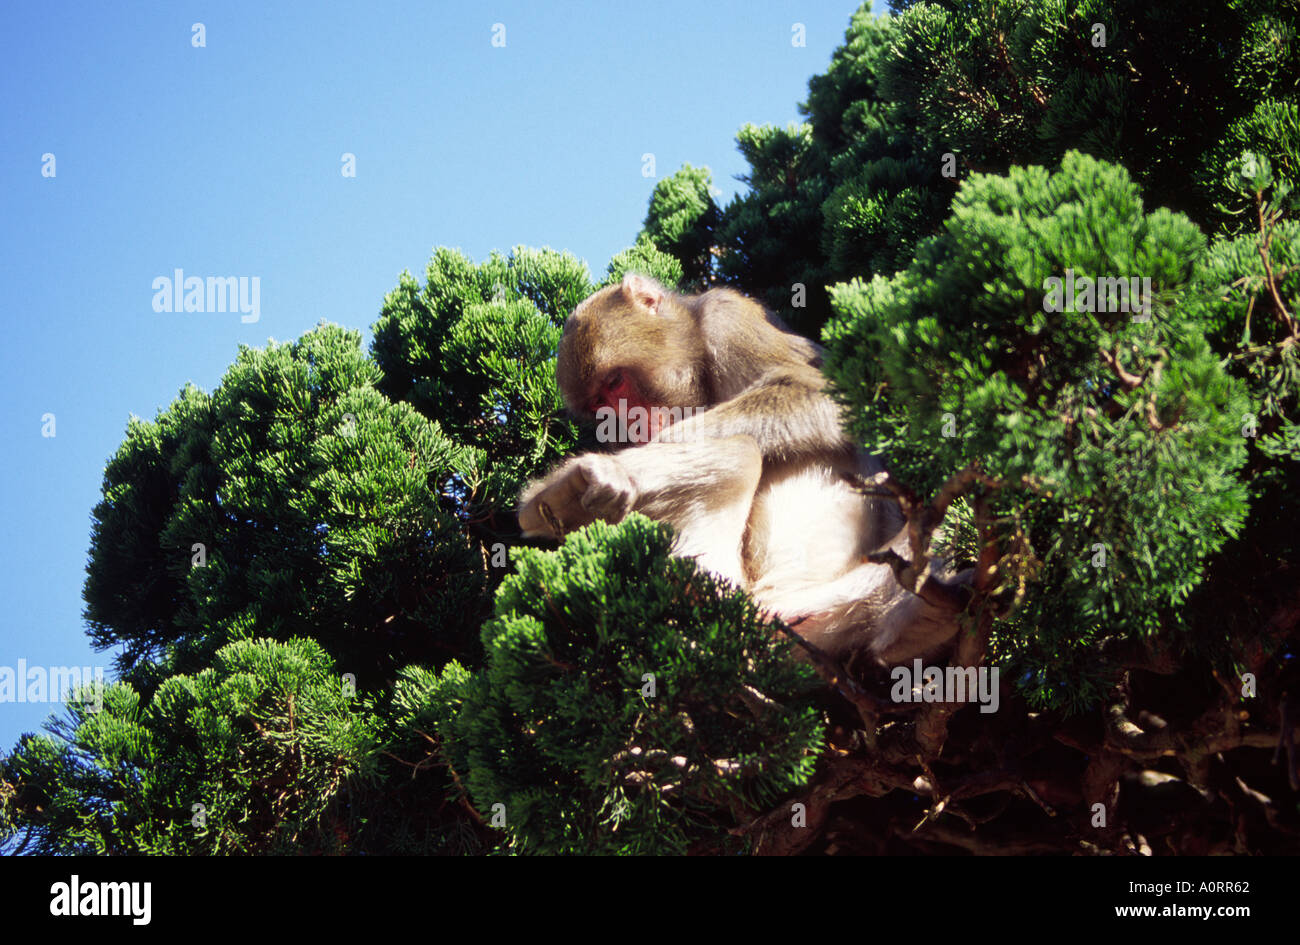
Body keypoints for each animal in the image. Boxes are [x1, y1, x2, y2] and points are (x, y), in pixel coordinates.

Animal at [517, 272, 970, 669]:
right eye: (599, 404)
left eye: (615, 382)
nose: (626, 422)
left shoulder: (729, 320)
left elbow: (819, 393)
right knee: (739, 458)